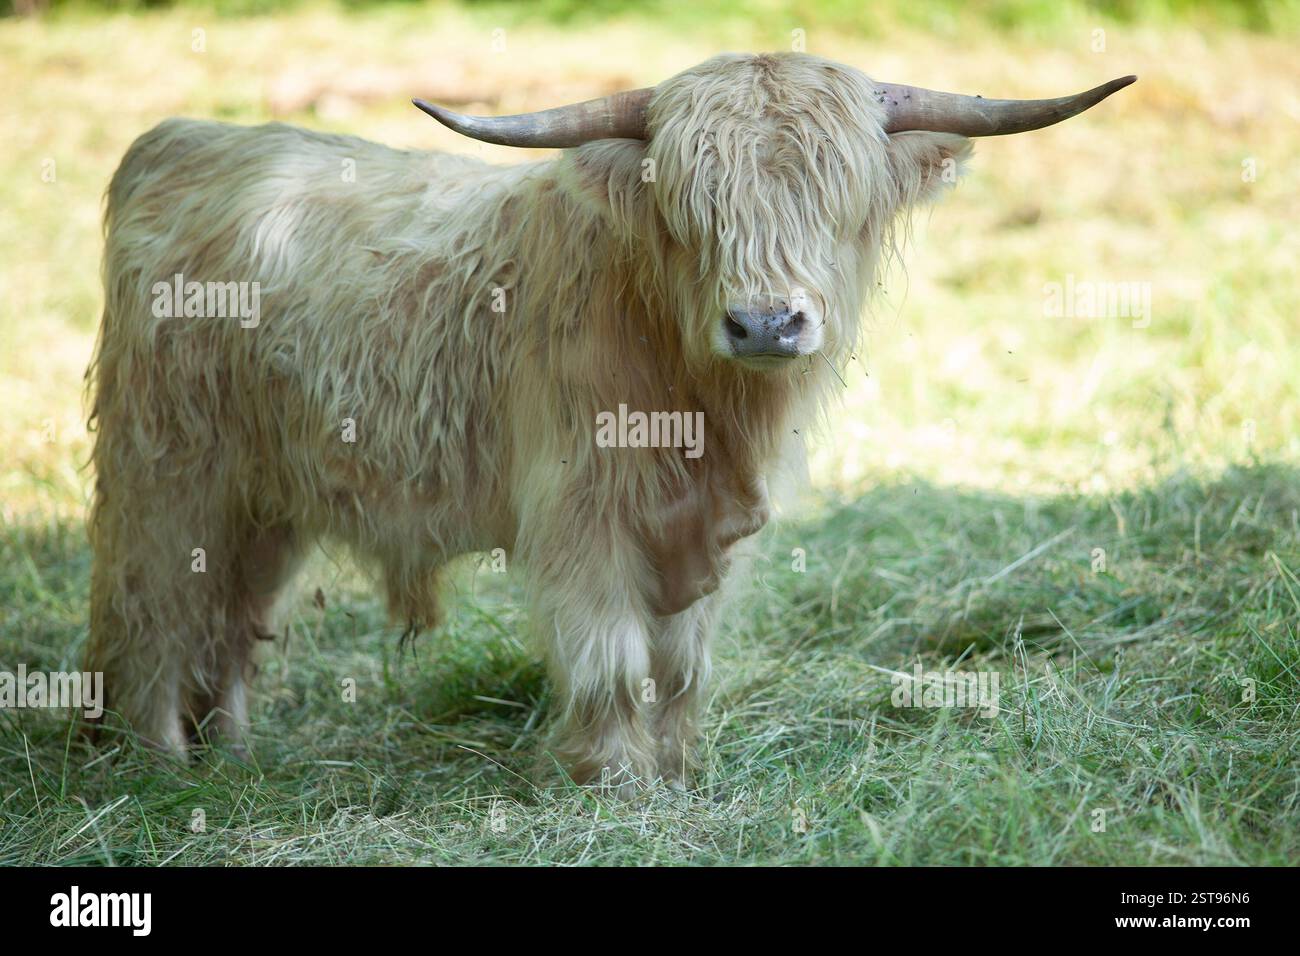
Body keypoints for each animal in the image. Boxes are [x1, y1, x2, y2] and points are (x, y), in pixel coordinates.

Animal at [85, 52, 1133, 792]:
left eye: (839, 198)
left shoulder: (704, 538)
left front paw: (675, 768)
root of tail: (184, 139)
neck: (696, 400)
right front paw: (615, 777)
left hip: (266, 495)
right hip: (167, 472)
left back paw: (232, 755)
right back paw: (160, 763)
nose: (766, 322)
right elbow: (610, 655)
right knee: (154, 609)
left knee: (232, 615)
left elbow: (680, 662)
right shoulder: (581, 518)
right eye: (690, 205)